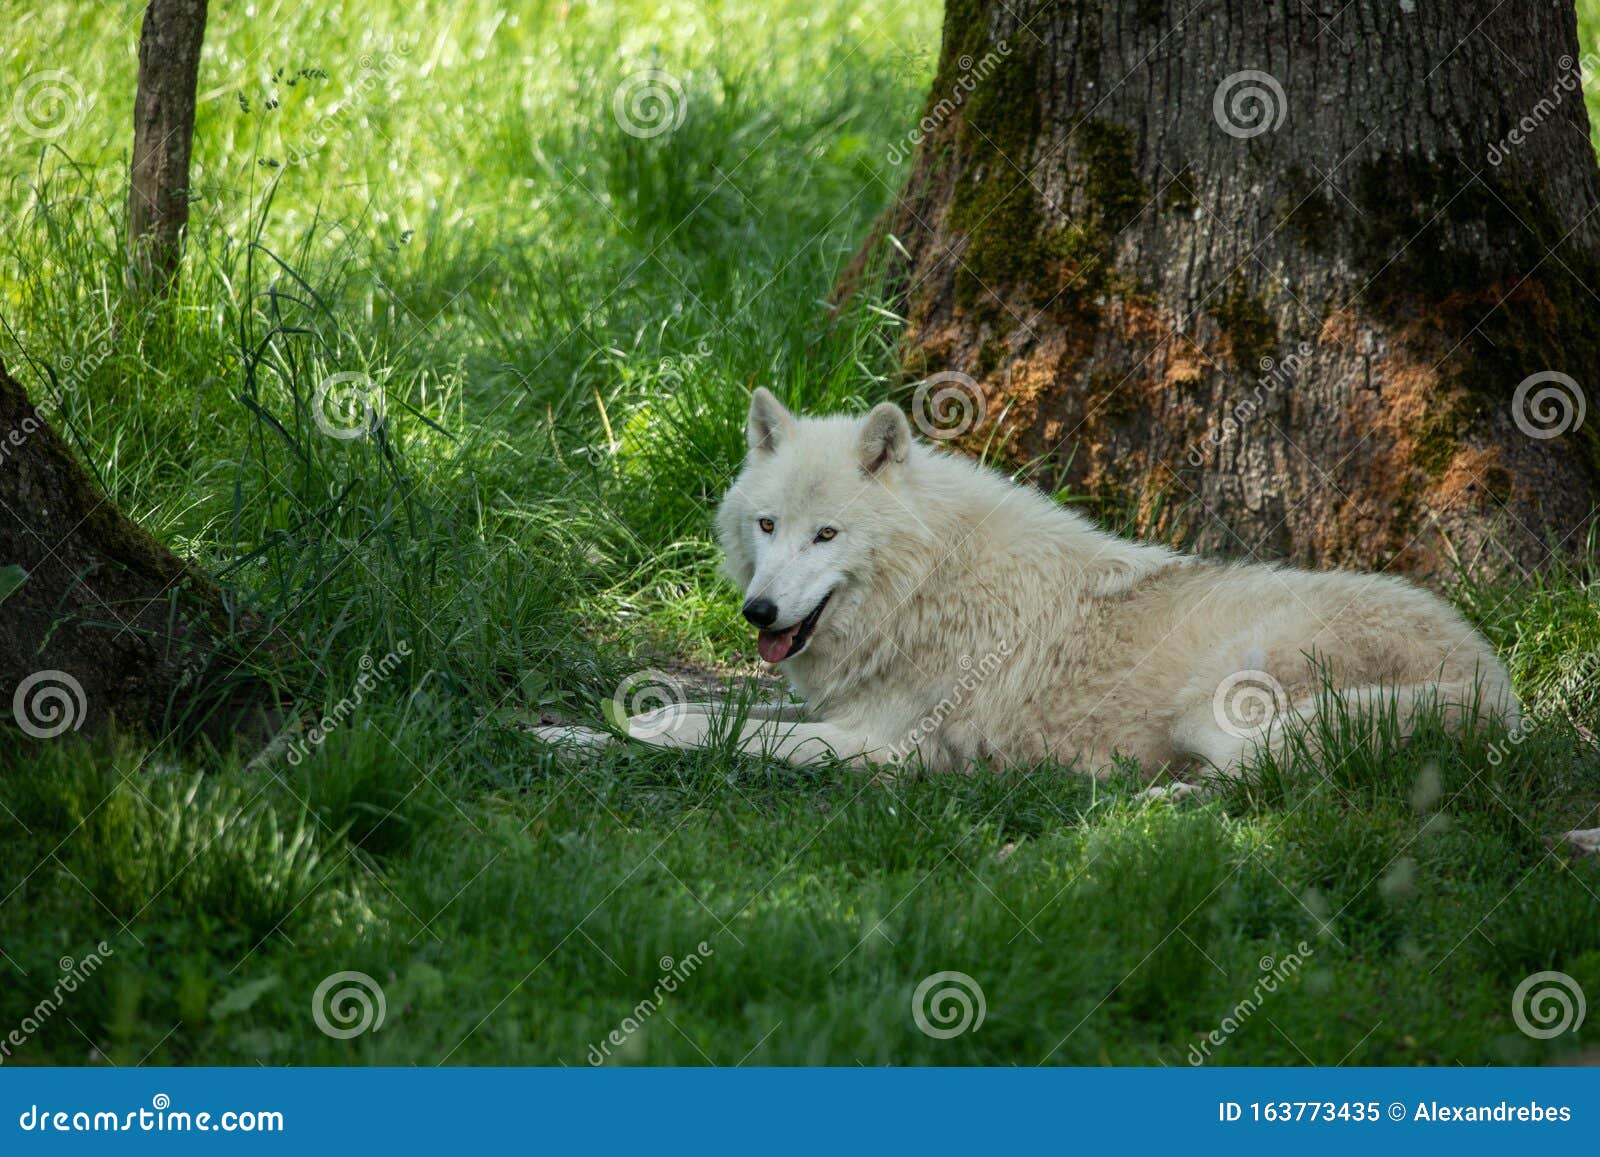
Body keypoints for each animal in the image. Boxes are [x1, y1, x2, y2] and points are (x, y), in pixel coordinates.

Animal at [543, 388, 1520, 786]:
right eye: (769, 527)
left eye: (828, 535)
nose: (760, 611)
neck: (927, 583)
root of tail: (1499, 686)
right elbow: (702, 711)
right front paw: (569, 731)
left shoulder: (879, 750)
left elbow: (711, 733)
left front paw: (606, 733)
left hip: (1223, 711)